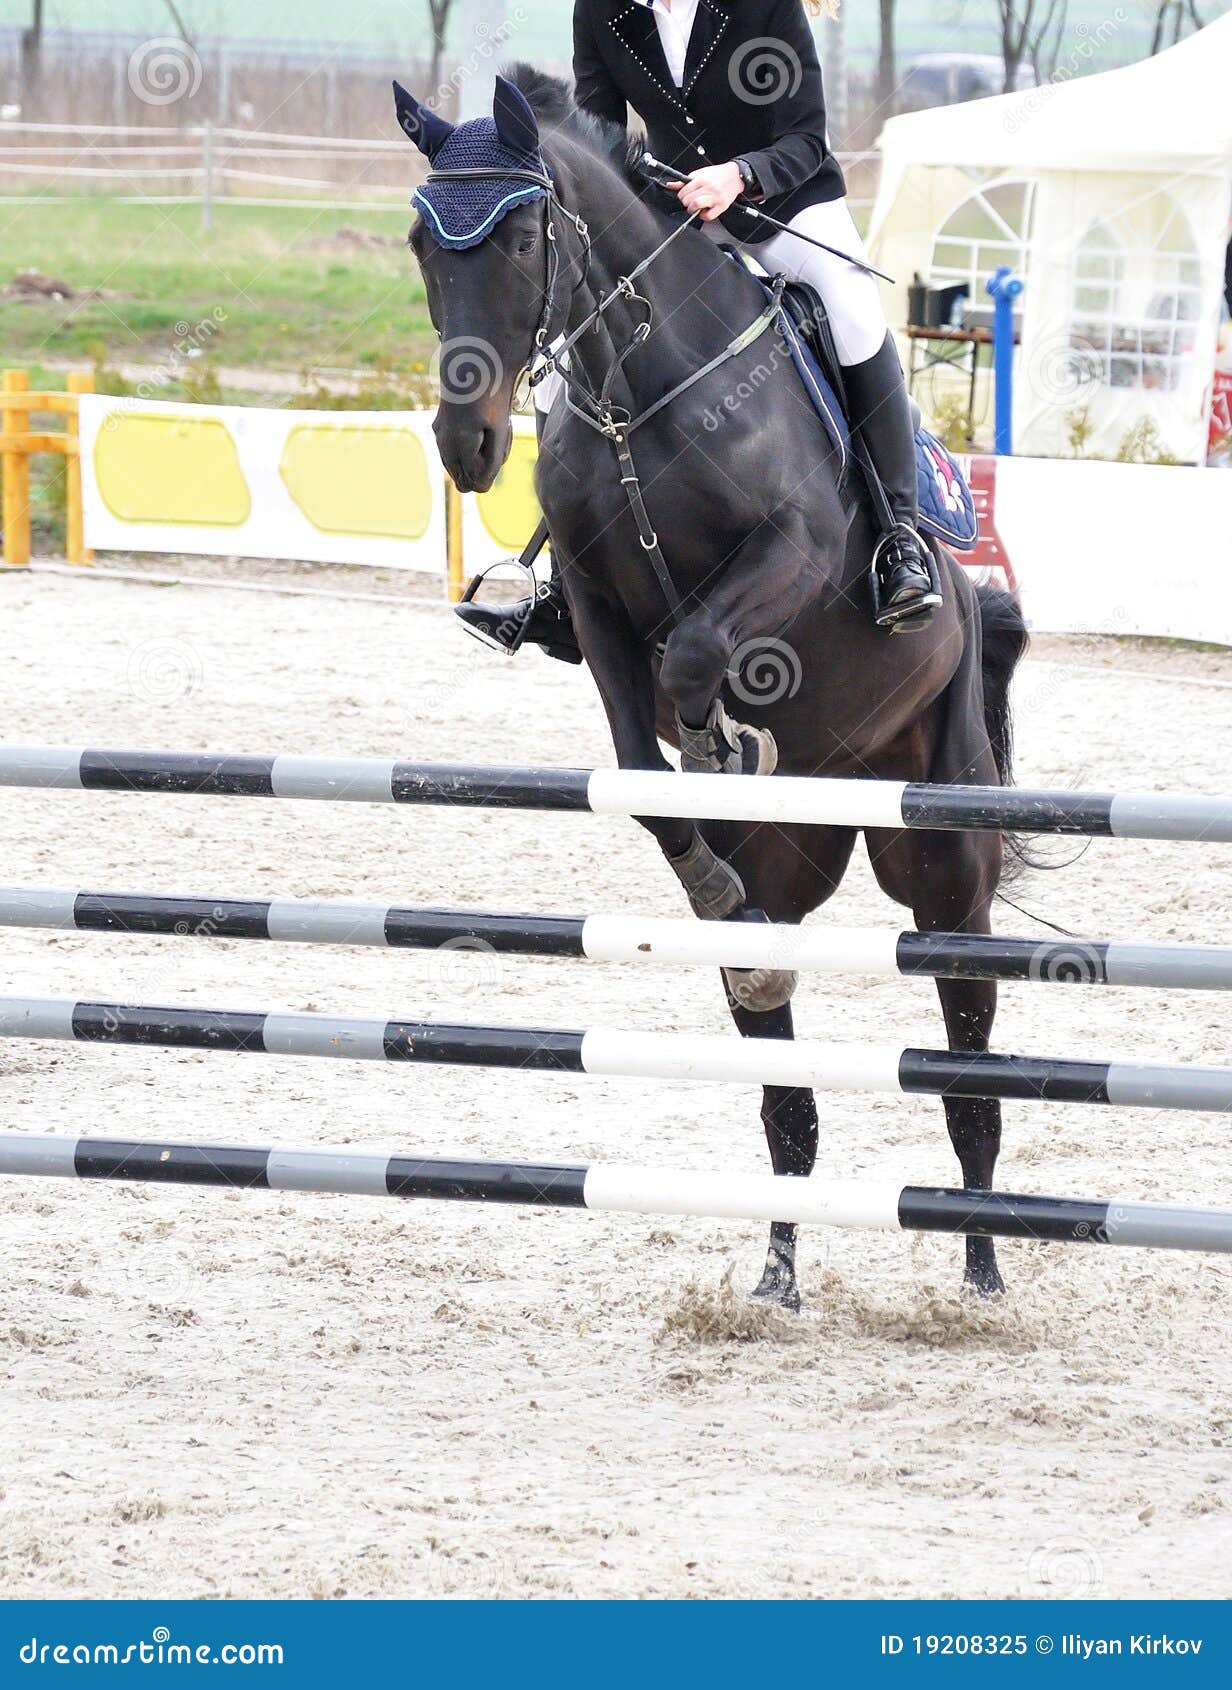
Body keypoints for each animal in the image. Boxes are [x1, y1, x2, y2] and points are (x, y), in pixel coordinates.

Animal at [397, 66, 1029, 1312]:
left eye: (524, 237)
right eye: (421, 242)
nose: (465, 444)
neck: (636, 383)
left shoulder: (789, 557)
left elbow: (696, 657)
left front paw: (724, 737)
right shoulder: (597, 608)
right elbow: (642, 770)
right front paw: (704, 846)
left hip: (943, 872)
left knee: (963, 1079)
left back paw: (980, 1278)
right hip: (796, 881)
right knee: (785, 1092)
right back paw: (776, 1270)